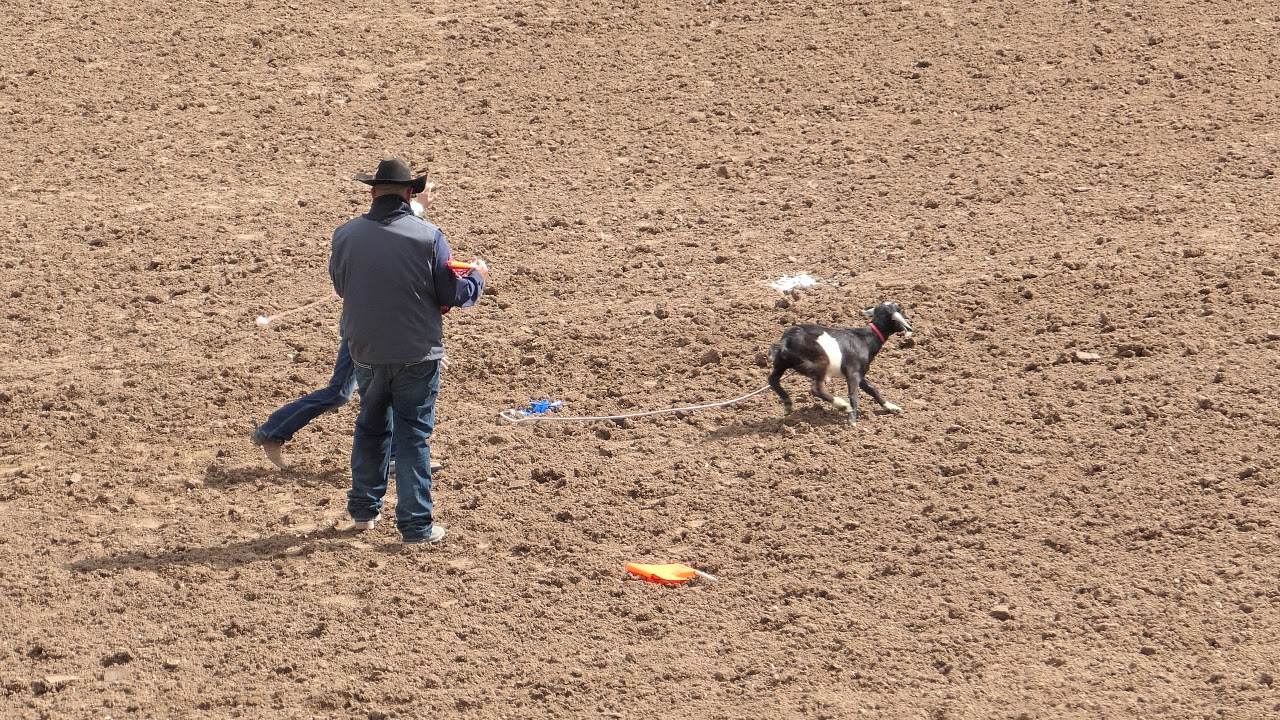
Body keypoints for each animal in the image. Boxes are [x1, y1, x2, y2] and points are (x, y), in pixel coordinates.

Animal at [767, 301, 914, 426]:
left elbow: (872, 389)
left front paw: (891, 407)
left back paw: (788, 403)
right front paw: (852, 420)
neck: (866, 339)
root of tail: (786, 341)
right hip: (821, 362)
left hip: (782, 363)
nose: (909, 324)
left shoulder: (859, 373)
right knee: (816, 388)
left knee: (773, 379)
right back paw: (843, 406)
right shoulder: (853, 372)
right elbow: (854, 395)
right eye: (900, 310)